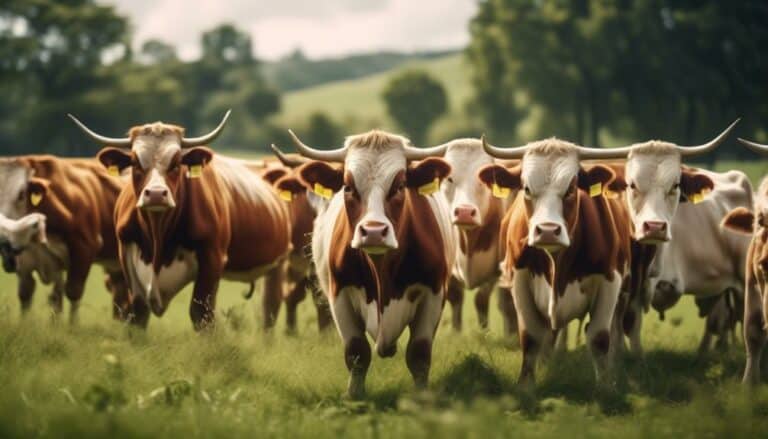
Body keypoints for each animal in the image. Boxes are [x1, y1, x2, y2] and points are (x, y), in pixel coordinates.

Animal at [0, 156, 128, 321]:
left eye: (21, 194)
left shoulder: (85, 247)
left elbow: (73, 292)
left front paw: (72, 326)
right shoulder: (26, 261)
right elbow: (29, 294)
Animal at [68, 112, 292, 331]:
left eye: (176, 163)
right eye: (135, 162)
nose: (156, 194)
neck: (158, 239)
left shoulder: (212, 258)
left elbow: (201, 315)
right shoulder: (127, 257)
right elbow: (138, 315)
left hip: (278, 263)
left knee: (270, 306)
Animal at [283, 129, 455, 398]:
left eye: (400, 185)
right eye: (348, 186)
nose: (373, 232)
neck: (382, 270)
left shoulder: (434, 294)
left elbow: (419, 353)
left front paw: (421, 397)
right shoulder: (339, 295)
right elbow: (356, 352)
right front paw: (354, 396)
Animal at [439, 139, 517, 334]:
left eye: (483, 180)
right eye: (449, 178)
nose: (465, 212)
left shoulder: (496, 269)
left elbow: (481, 299)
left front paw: (485, 333)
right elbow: (456, 297)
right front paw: (456, 333)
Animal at [478, 137, 631, 386]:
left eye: (570, 188)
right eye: (526, 188)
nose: (548, 231)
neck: (556, 263)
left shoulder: (611, 280)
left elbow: (599, 337)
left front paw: (606, 385)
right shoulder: (519, 280)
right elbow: (531, 337)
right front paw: (526, 384)